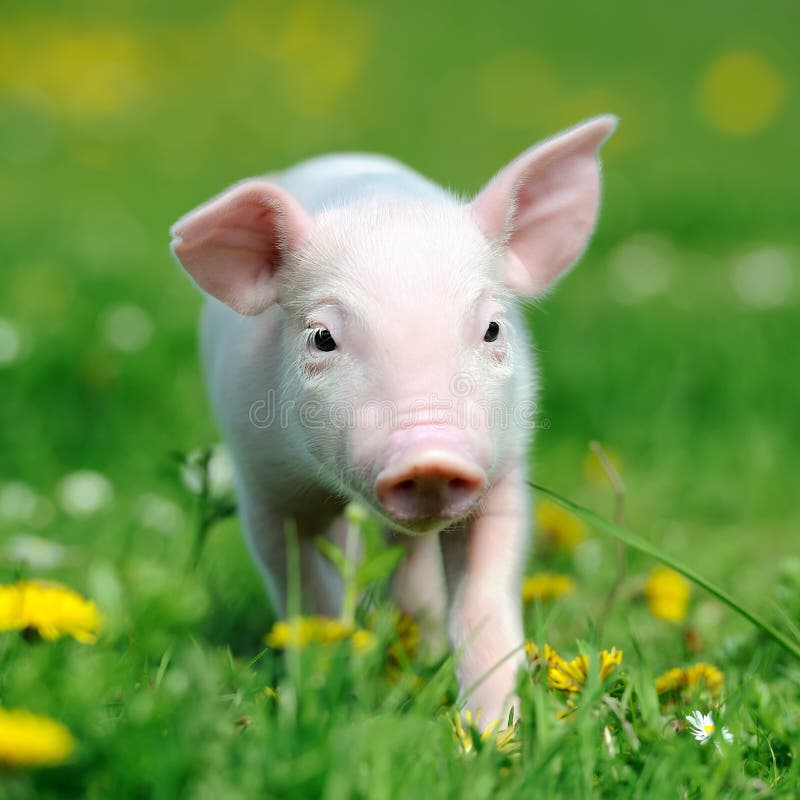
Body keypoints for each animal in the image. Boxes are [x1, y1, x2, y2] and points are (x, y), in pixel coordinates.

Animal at [170, 115, 616, 726]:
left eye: (493, 328)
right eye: (322, 337)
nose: (429, 455)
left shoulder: (503, 478)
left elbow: (483, 598)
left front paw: (491, 732)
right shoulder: (264, 484)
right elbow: (304, 594)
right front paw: (321, 697)